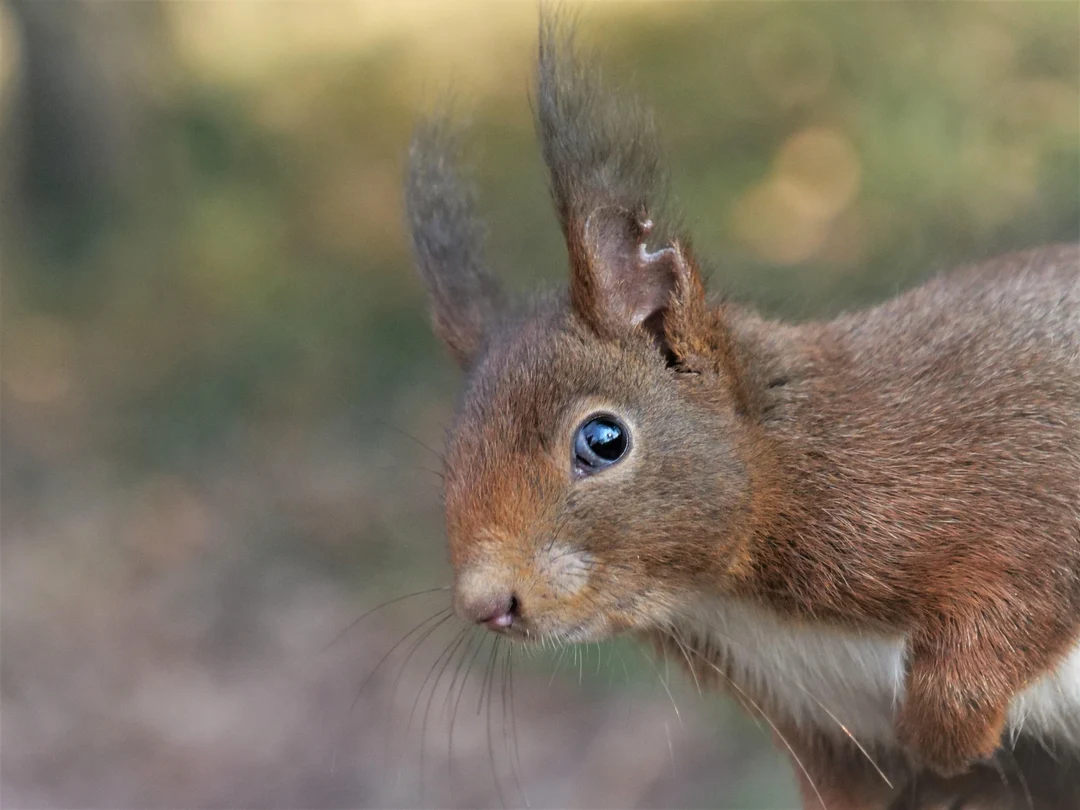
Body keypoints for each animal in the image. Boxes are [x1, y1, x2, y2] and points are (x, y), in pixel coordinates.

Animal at [402, 15, 1080, 810]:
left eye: (603, 440)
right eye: (450, 459)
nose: (486, 604)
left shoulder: (1002, 460)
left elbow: (1025, 590)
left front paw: (949, 731)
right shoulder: (819, 728)